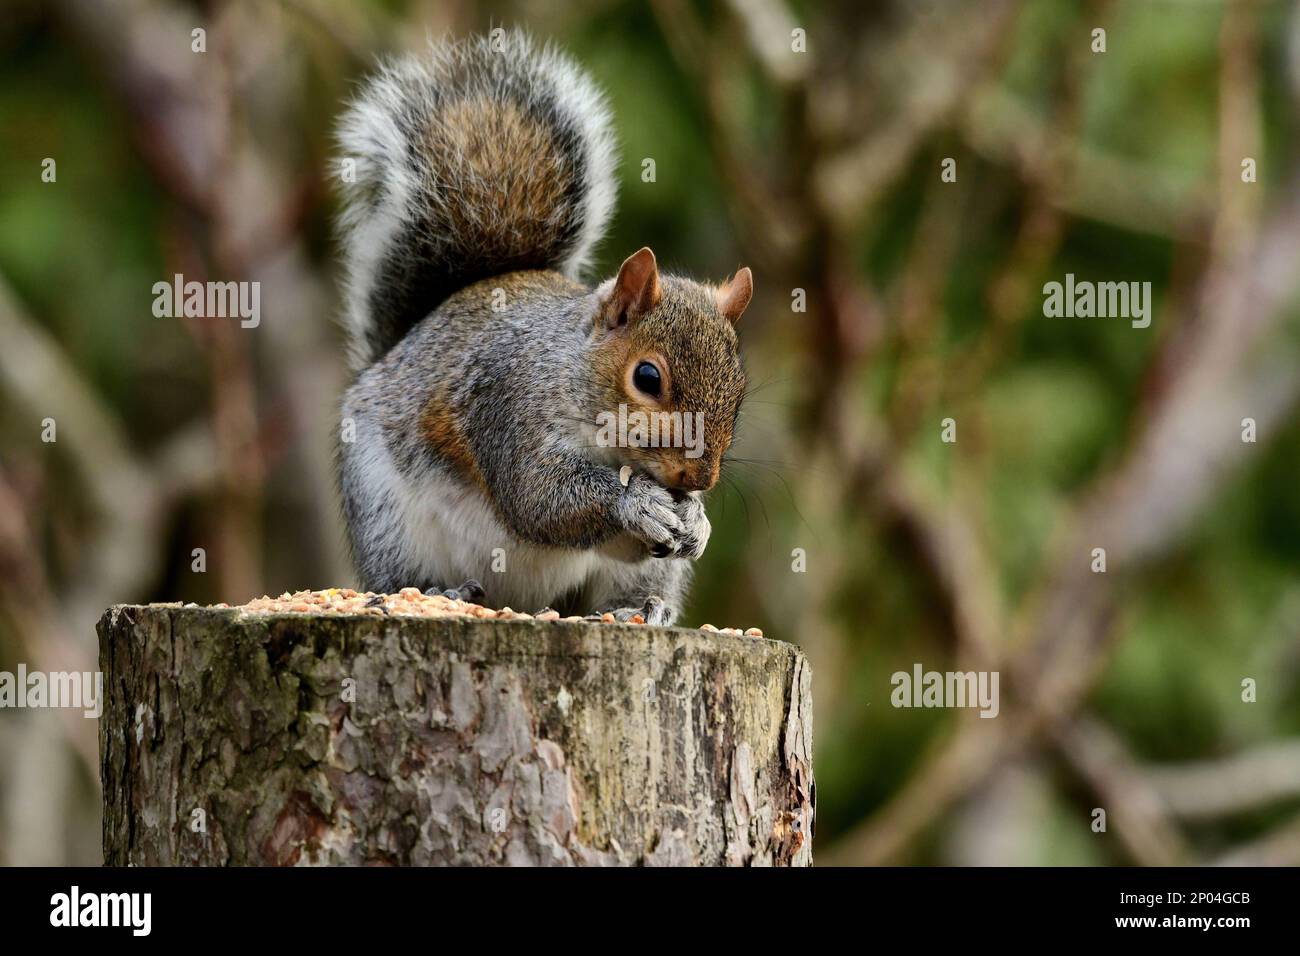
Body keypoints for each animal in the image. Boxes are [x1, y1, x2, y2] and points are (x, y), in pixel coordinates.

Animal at [334, 30, 752, 626]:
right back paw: (438, 592)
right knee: (398, 575)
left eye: (738, 395)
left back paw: (641, 608)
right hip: (384, 511)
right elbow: (538, 497)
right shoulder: (508, 406)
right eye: (647, 378)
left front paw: (696, 521)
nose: (698, 480)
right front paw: (635, 503)